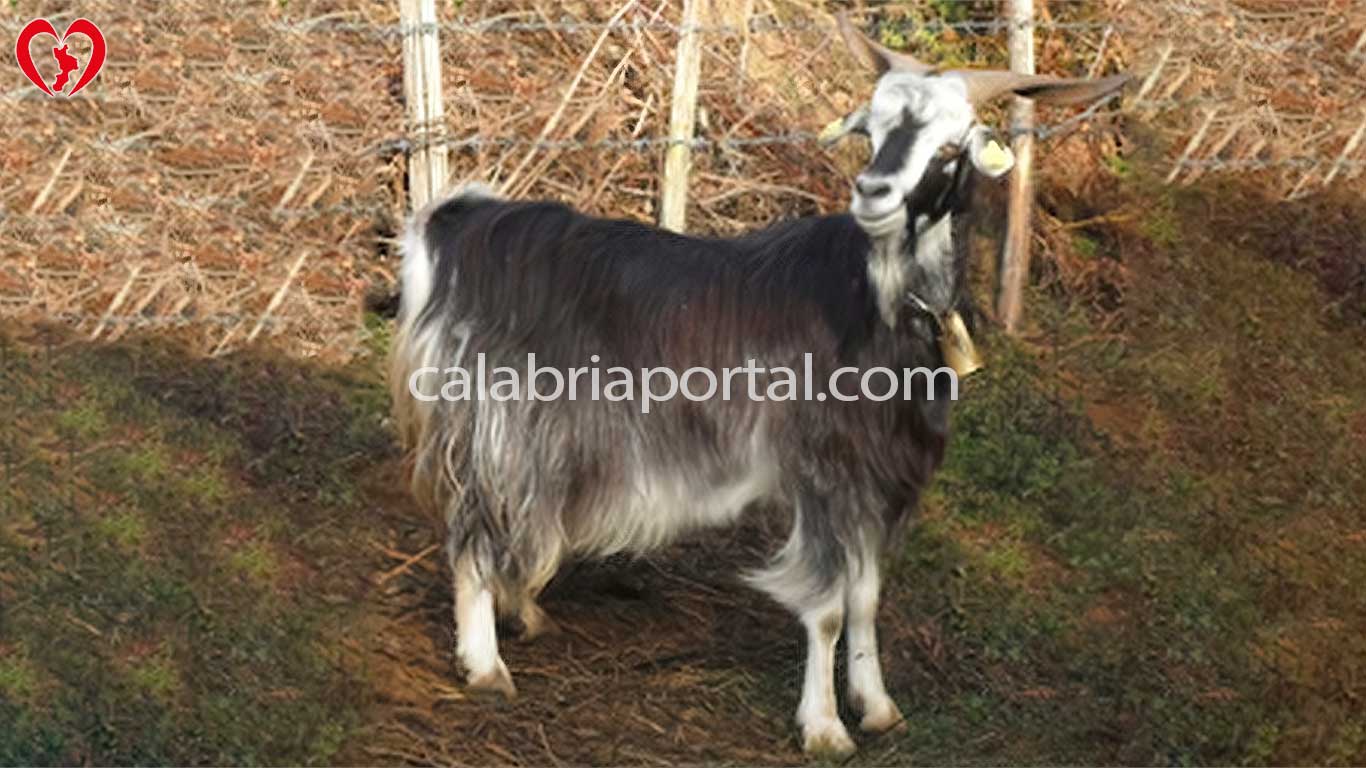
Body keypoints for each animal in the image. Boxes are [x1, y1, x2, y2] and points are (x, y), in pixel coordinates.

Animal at [389, 15, 1128, 757]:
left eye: (951, 144)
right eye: (871, 128)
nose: (873, 193)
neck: (875, 299)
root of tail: (460, 225)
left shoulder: (876, 476)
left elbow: (866, 597)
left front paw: (878, 706)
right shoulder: (823, 468)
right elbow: (827, 608)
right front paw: (825, 727)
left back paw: (523, 615)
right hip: (499, 421)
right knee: (474, 530)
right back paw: (486, 665)